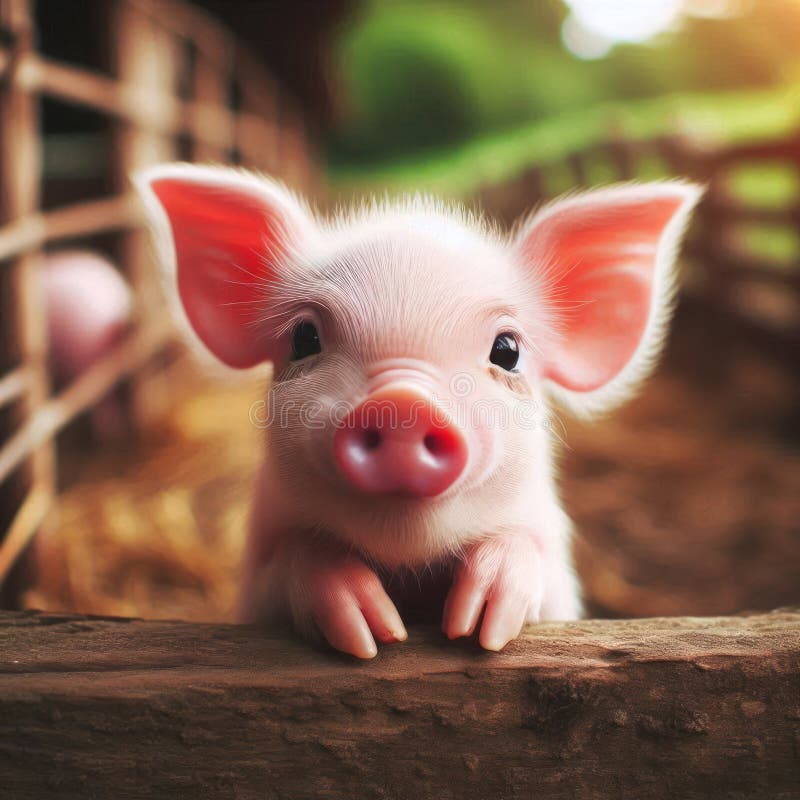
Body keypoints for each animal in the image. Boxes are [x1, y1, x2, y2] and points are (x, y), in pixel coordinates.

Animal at [136, 164, 701, 658]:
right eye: (303, 337)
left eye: (507, 350)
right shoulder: (257, 576)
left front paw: (474, 626)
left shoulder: (558, 571)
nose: (401, 404)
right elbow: (299, 558)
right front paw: (375, 636)